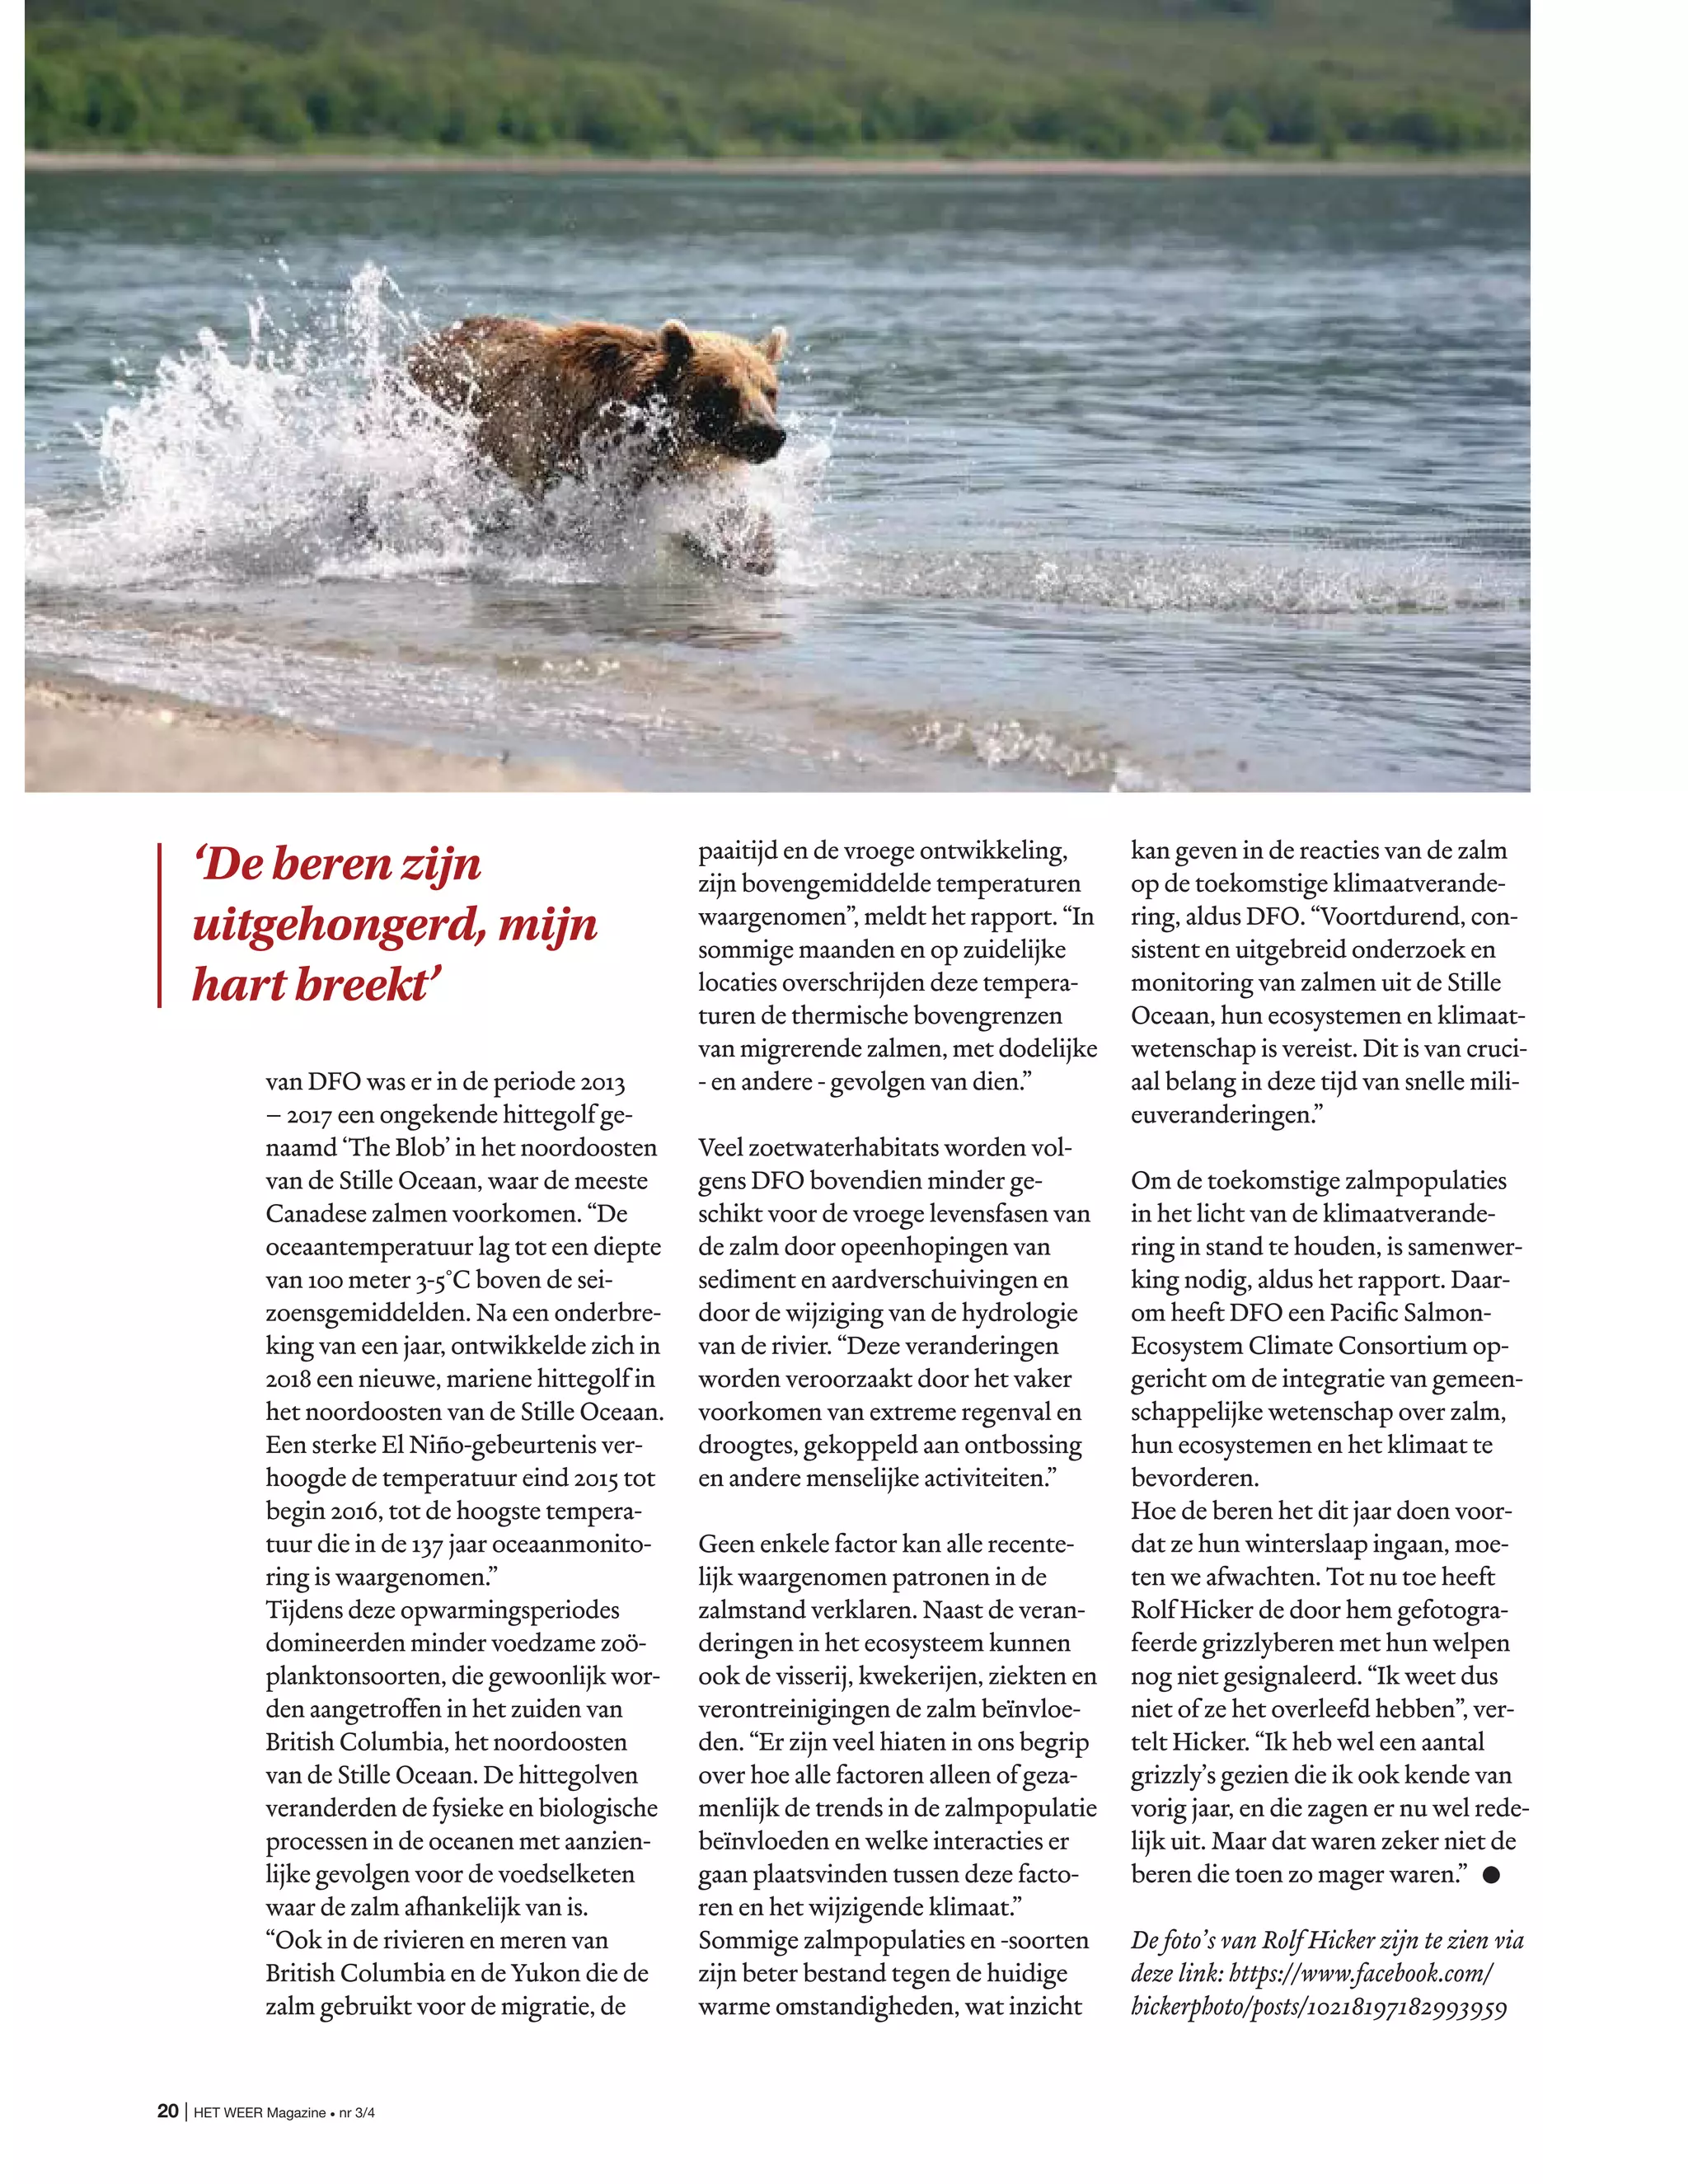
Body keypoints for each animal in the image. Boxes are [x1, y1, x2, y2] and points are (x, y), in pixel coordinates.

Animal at [405, 314, 790, 572]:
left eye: (769, 389)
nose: (769, 433)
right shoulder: (571, 445)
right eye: (727, 391)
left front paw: (754, 553)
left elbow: (729, 513)